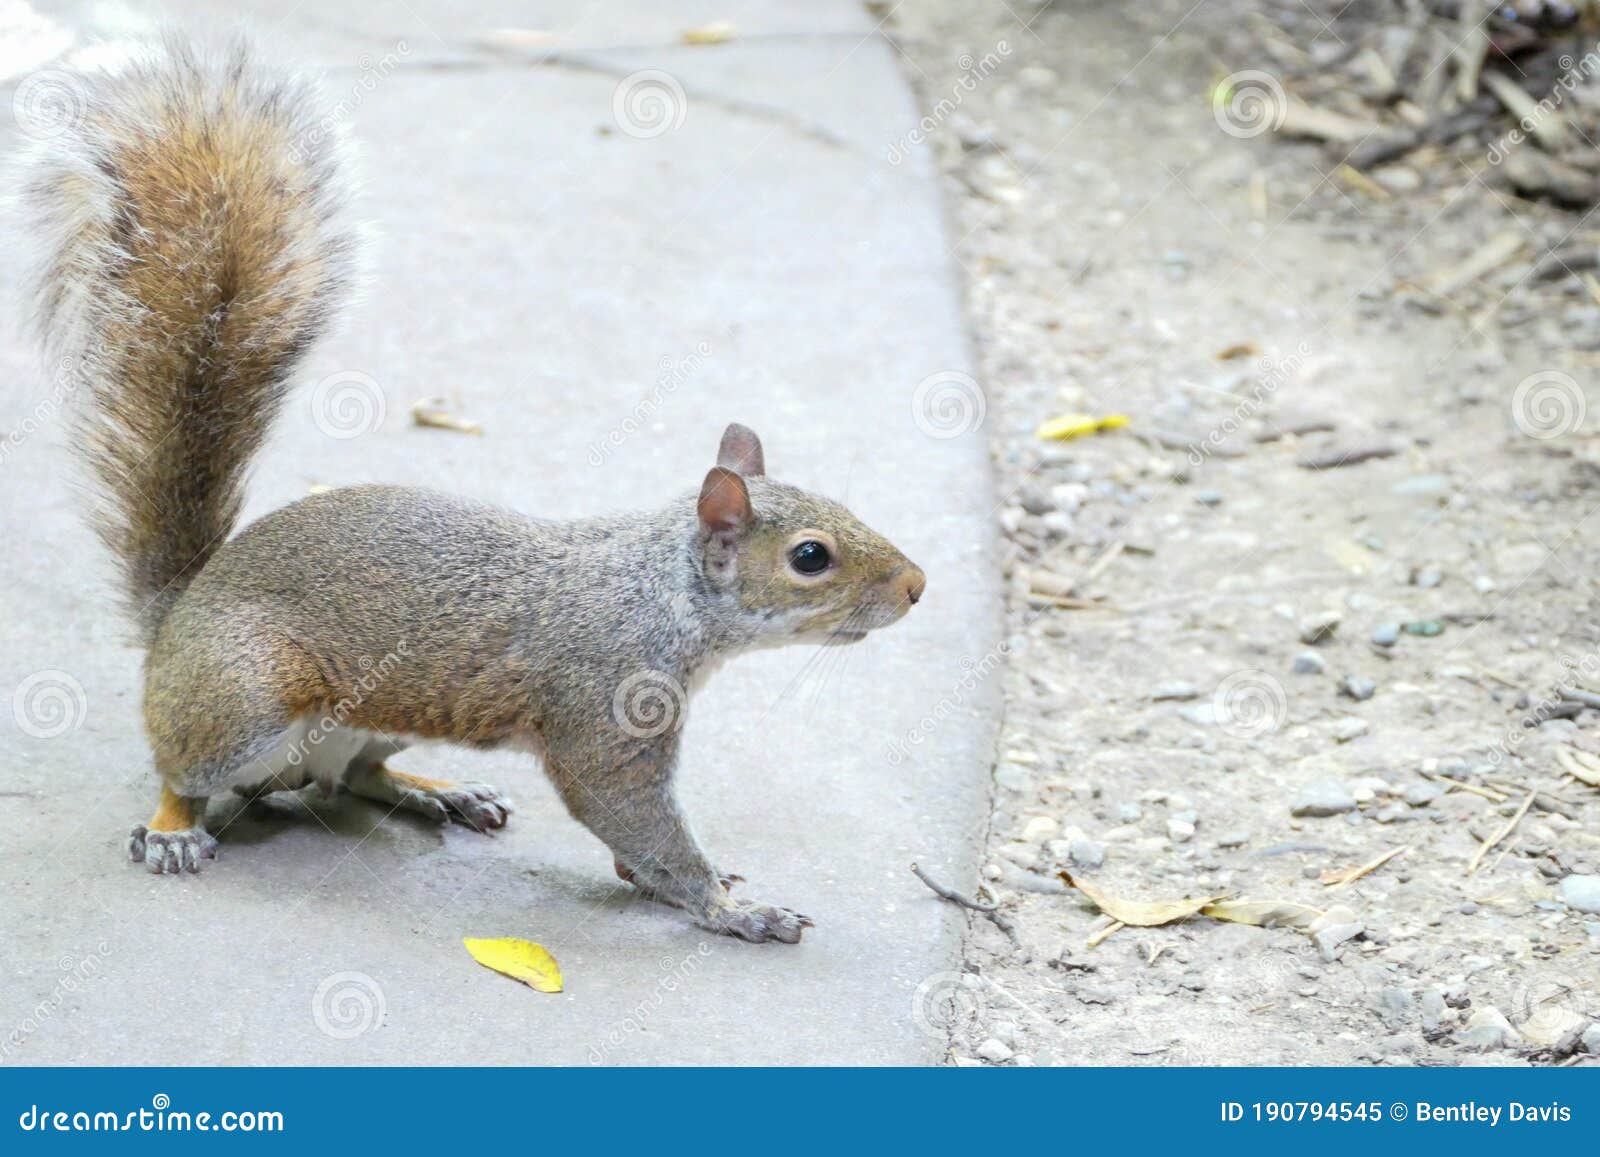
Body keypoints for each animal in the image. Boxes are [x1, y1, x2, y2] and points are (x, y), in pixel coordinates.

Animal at [17, 36, 925, 944]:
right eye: (811, 557)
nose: (917, 586)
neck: (661, 593)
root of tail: (176, 619)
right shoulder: (609, 705)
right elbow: (630, 814)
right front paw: (732, 907)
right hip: (246, 697)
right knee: (186, 768)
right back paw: (175, 825)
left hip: (388, 716)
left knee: (345, 779)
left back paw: (440, 791)